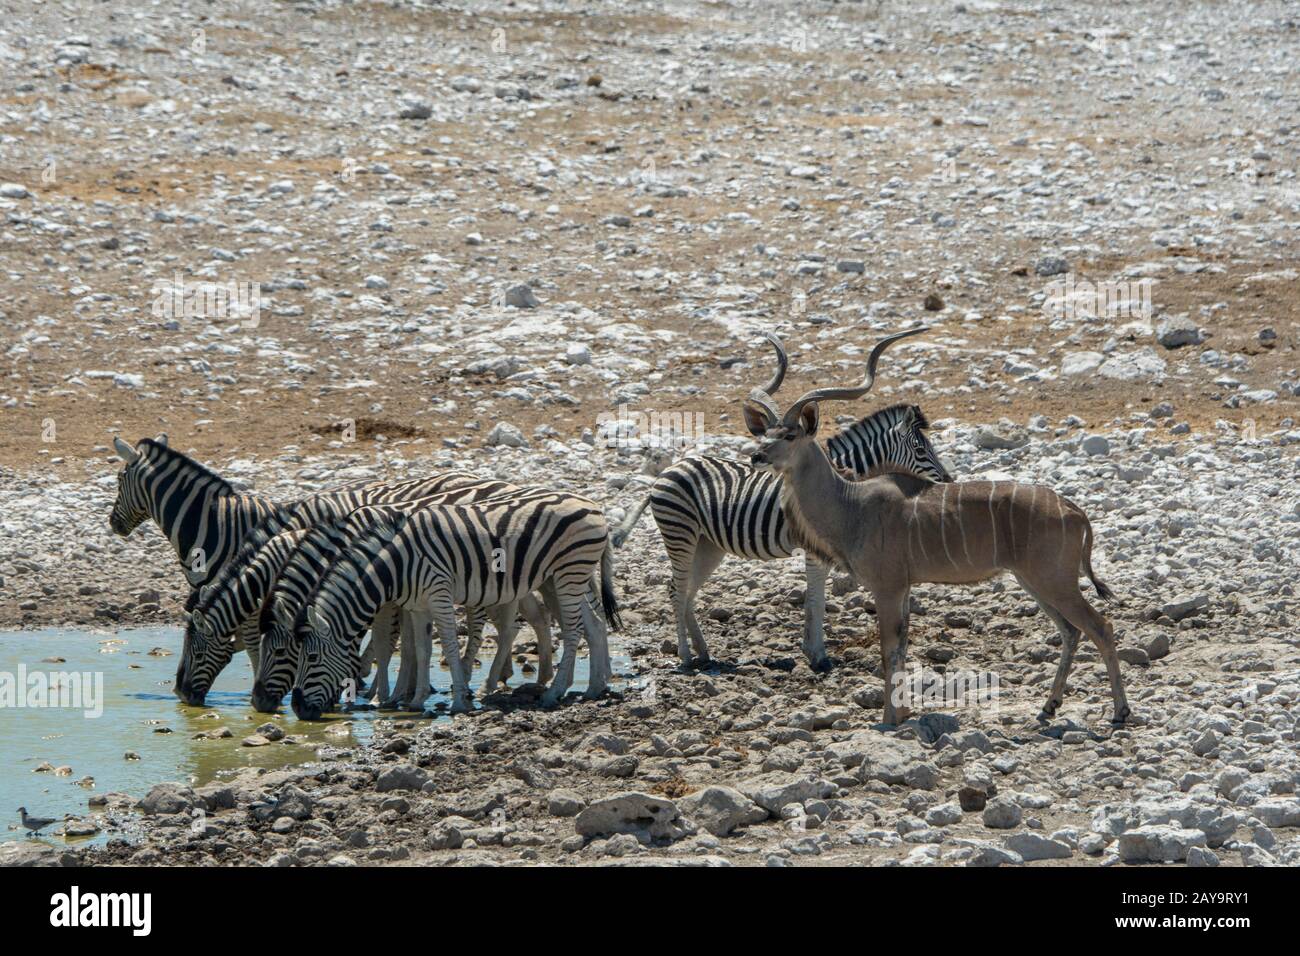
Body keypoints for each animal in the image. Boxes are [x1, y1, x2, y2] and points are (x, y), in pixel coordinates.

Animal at [291, 490, 620, 719]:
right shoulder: (417, 605)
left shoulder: (439, 593)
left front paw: (460, 701)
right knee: (594, 623)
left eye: (312, 658)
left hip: (569, 571)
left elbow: (448, 644)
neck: (397, 565)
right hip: (561, 576)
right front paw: (416, 700)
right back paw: (593, 688)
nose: (297, 709)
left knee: (574, 629)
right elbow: (421, 650)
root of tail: (594, 506)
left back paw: (554, 692)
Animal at [610, 333, 951, 671]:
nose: (947, 479)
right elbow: (815, 599)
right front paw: (818, 656)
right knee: (677, 590)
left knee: (685, 590)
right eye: (921, 449)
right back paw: (684, 656)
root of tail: (667, 471)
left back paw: (703, 653)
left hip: (708, 545)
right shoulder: (815, 550)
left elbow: (816, 599)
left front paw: (812, 652)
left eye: (789, 437)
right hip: (680, 536)